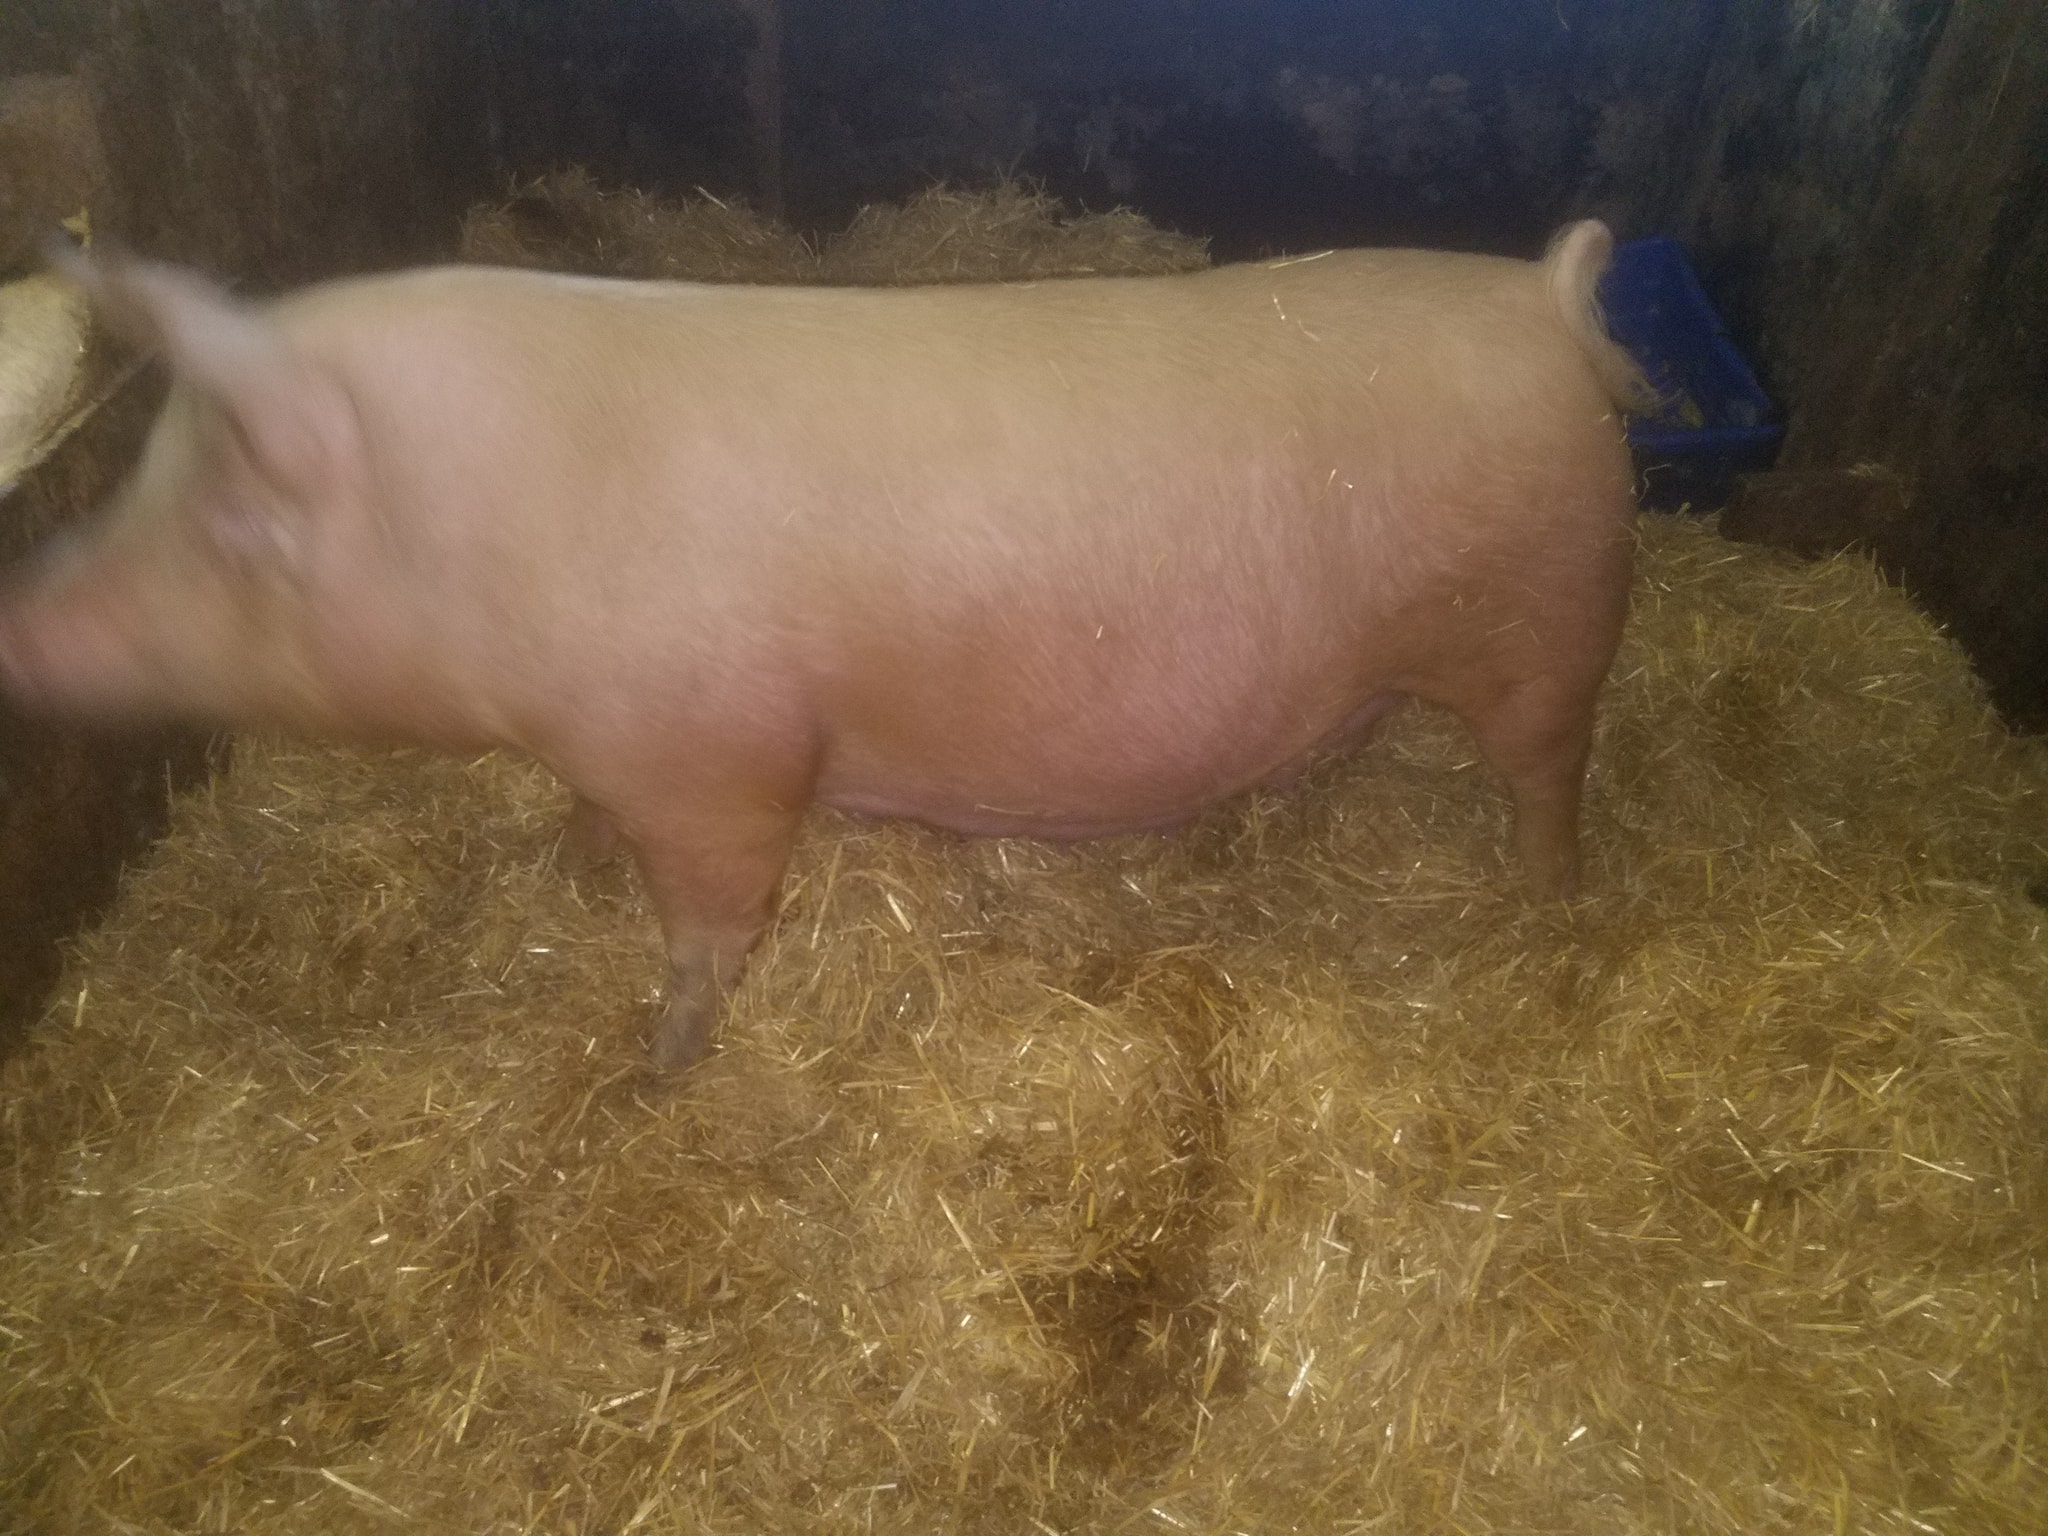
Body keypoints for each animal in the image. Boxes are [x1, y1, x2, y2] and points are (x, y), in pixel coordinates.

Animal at [0, 223, 1652, 1069]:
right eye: (141, 473)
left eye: (231, 526)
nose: (23, 612)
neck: (495, 531)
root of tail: (1544, 296)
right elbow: (594, 831)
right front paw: (565, 863)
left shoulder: (718, 754)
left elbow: (711, 919)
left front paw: (660, 1063)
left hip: (1555, 614)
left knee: (1547, 768)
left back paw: (1547, 901)